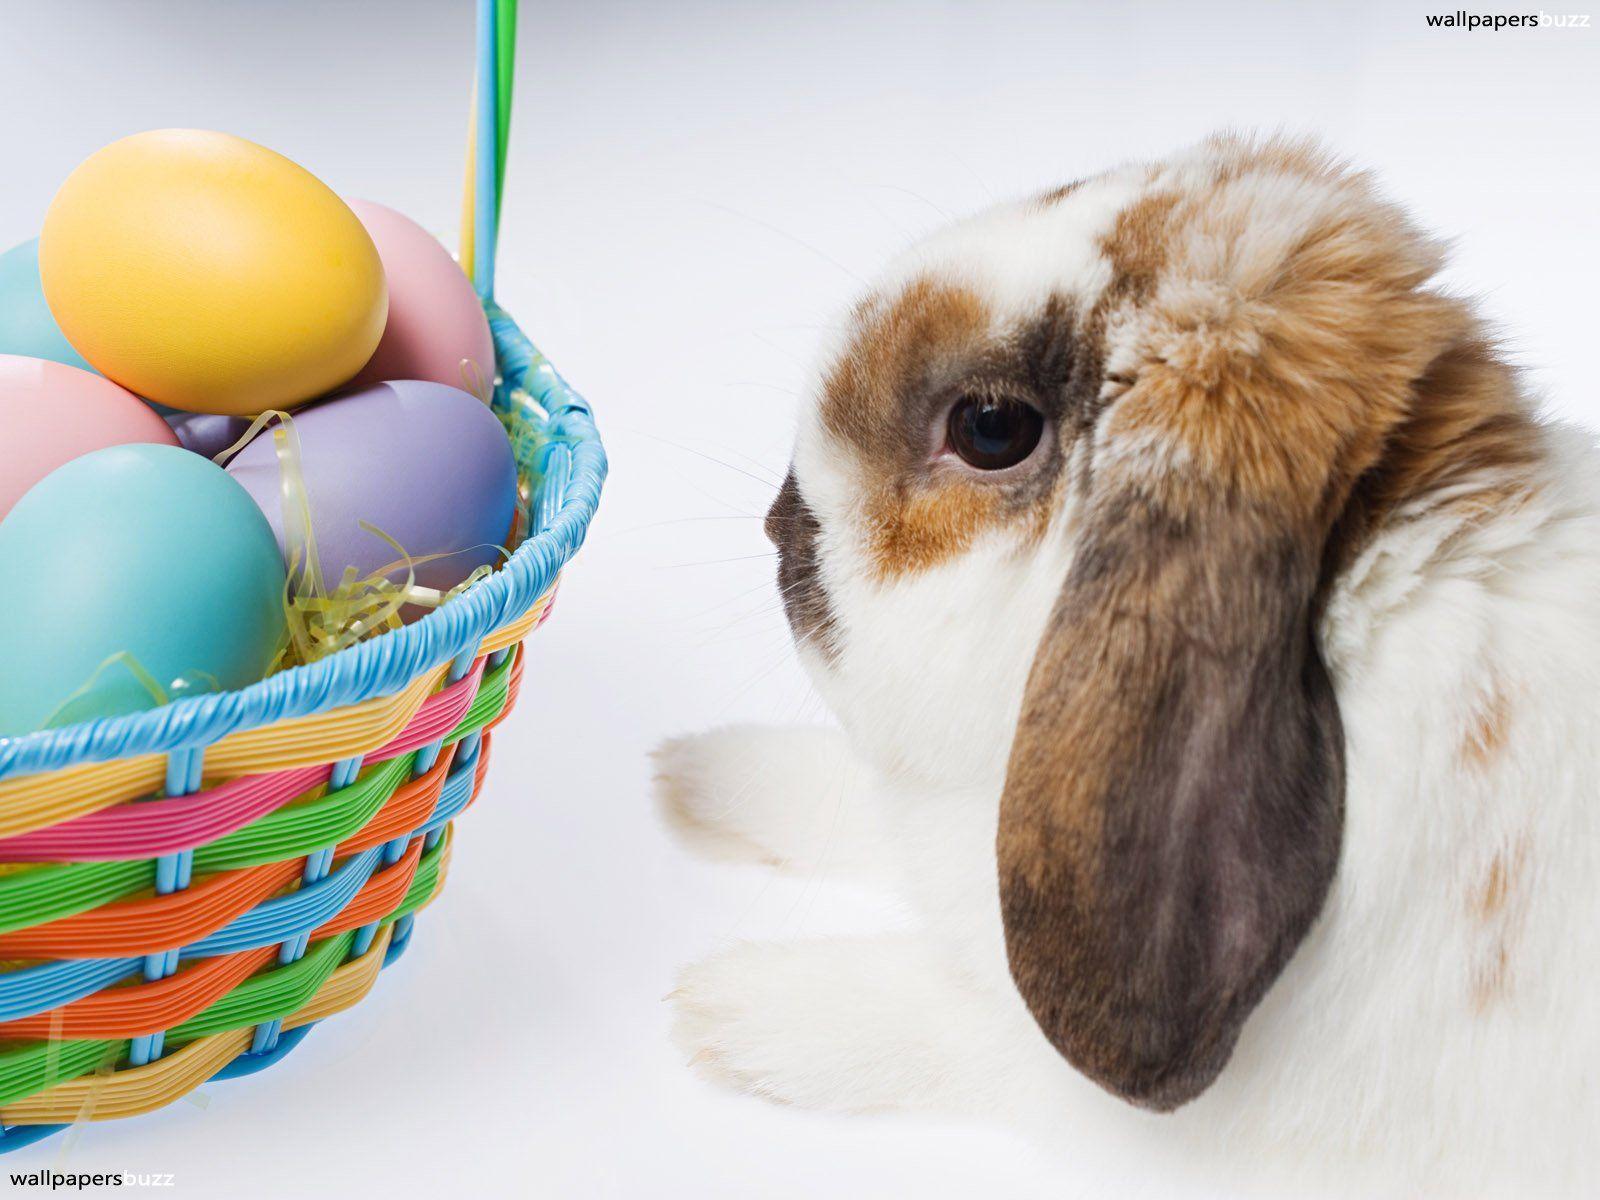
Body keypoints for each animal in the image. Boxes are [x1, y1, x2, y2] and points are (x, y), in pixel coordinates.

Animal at [653, 134, 1600, 1197]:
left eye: (990, 428)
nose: (782, 527)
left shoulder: (1094, 1098)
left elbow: (952, 1025)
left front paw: (727, 1010)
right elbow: (855, 804)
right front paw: (693, 774)